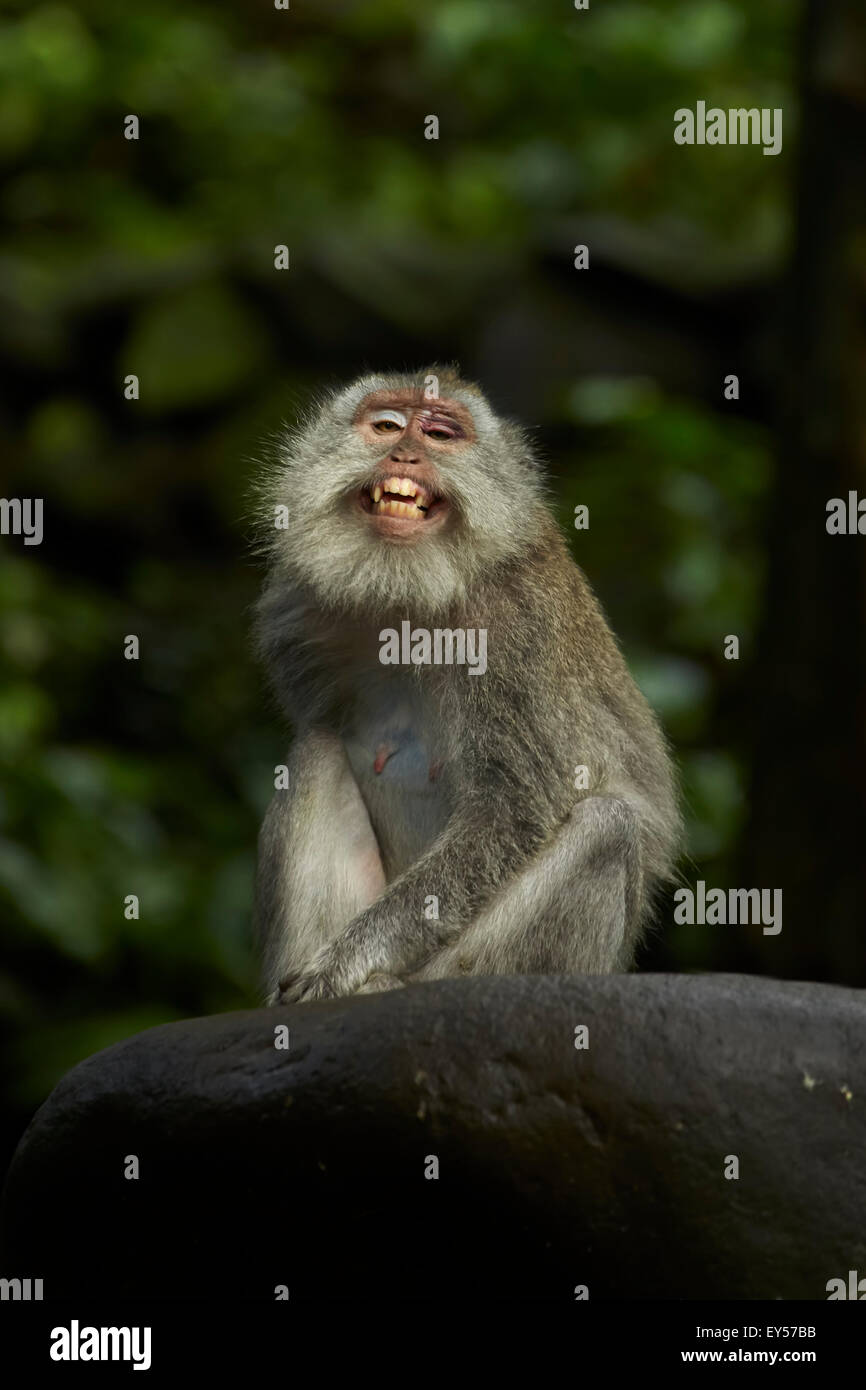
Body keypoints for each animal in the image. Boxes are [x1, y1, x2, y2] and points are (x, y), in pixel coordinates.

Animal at [252, 367, 680, 1004]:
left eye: (439, 434)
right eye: (387, 425)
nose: (405, 453)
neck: (411, 600)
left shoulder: (511, 633)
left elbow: (510, 814)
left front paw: (343, 964)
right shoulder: (296, 606)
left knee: (609, 827)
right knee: (315, 752)